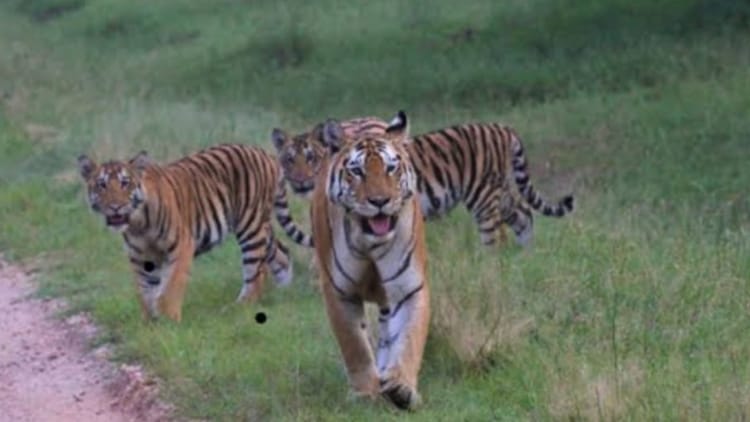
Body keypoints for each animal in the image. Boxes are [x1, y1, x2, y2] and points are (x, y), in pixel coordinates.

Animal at [77, 144, 312, 322]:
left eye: (125, 183)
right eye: (102, 185)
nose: (115, 207)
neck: (138, 224)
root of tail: (267, 155)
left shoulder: (181, 246)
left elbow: (169, 288)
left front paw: (169, 321)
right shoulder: (140, 257)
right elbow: (145, 292)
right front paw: (149, 323)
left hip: (251, 226)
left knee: (256, 272)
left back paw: (239, 307)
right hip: (262, 228)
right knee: (282, 252)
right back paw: (284, 291)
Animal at [272, 117, 574, 248]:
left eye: (311, 158)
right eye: (289, 160)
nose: (299, 181)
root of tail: (503, 128)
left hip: (484, 196)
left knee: (495, 235)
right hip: (502, 191)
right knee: (524, 215)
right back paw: (526, 256)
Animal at [311, 111, 429, 411]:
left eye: (391, 168)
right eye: (357, 171)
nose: (380, 201)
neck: (370, 242)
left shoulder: (408, 288)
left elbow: (408, 339)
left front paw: (402, 388)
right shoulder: (338, 291)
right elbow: (355, 345)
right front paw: (365, 392)